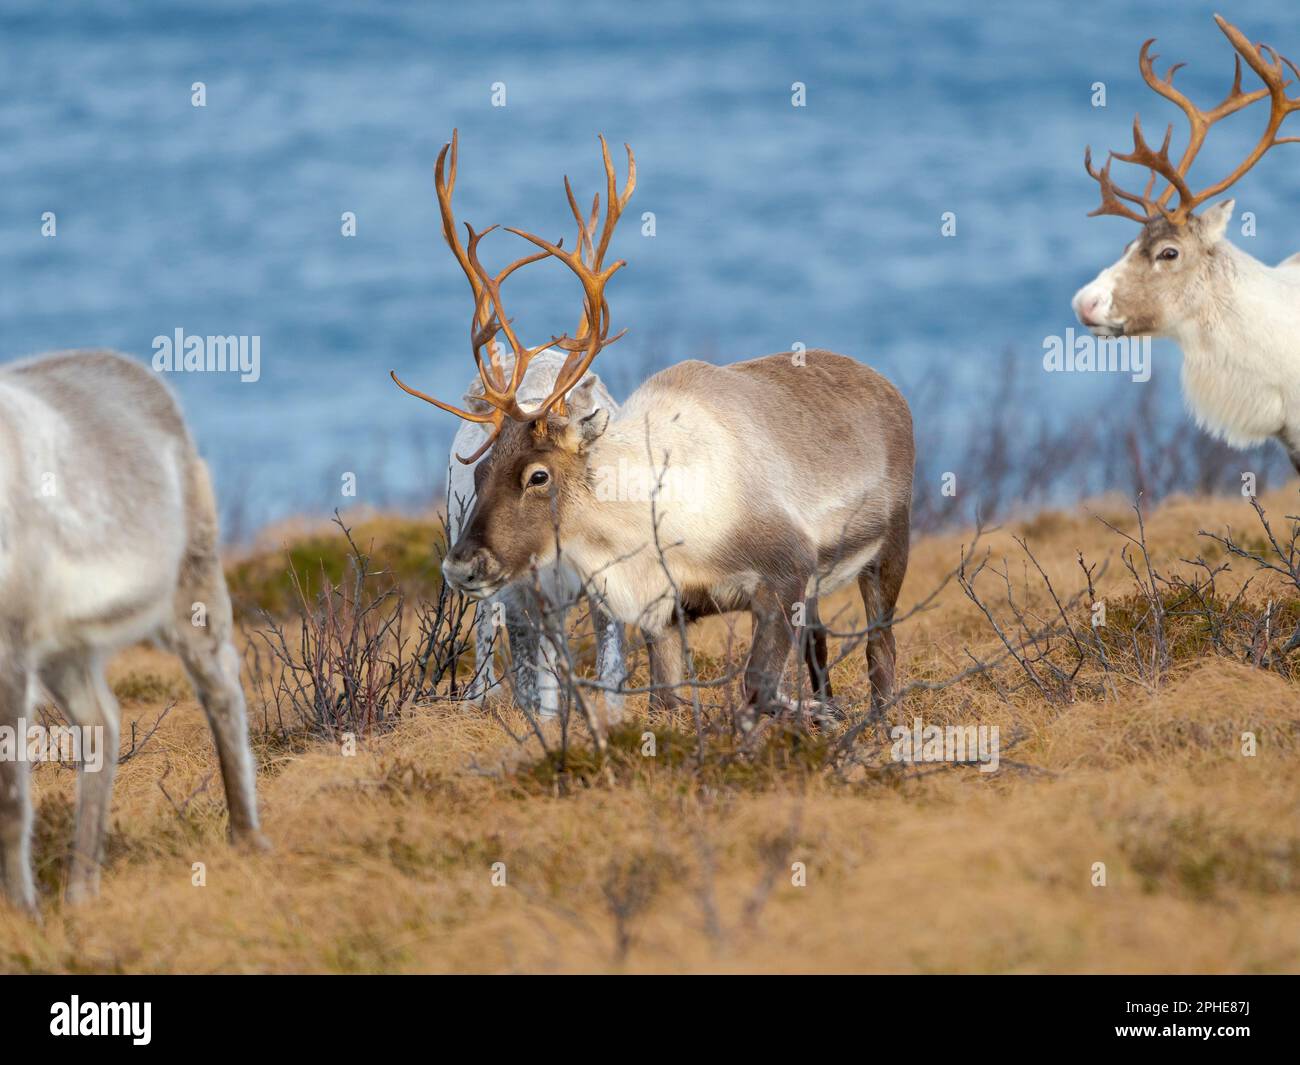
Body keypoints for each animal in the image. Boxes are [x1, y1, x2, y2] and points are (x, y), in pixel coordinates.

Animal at [0, 350, 265, 917]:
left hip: (191, 591)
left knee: (223, 691)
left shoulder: (10, 651)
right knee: (101, 723)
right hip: (66, 651)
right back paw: (81, 889)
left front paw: (23, 917)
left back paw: (247, 837)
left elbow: (10, 799)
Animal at [390, 132, 914, 724]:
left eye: (538, 476)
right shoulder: (663, 611)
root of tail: (886, 386)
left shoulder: (786, 571)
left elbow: (758, 686)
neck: (644, 517)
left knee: (880, 647)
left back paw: (876, 715)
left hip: (890, 548)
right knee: (821, 643)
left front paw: (812, 715)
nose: (461, 566)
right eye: (479, 474)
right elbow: (667, 700)